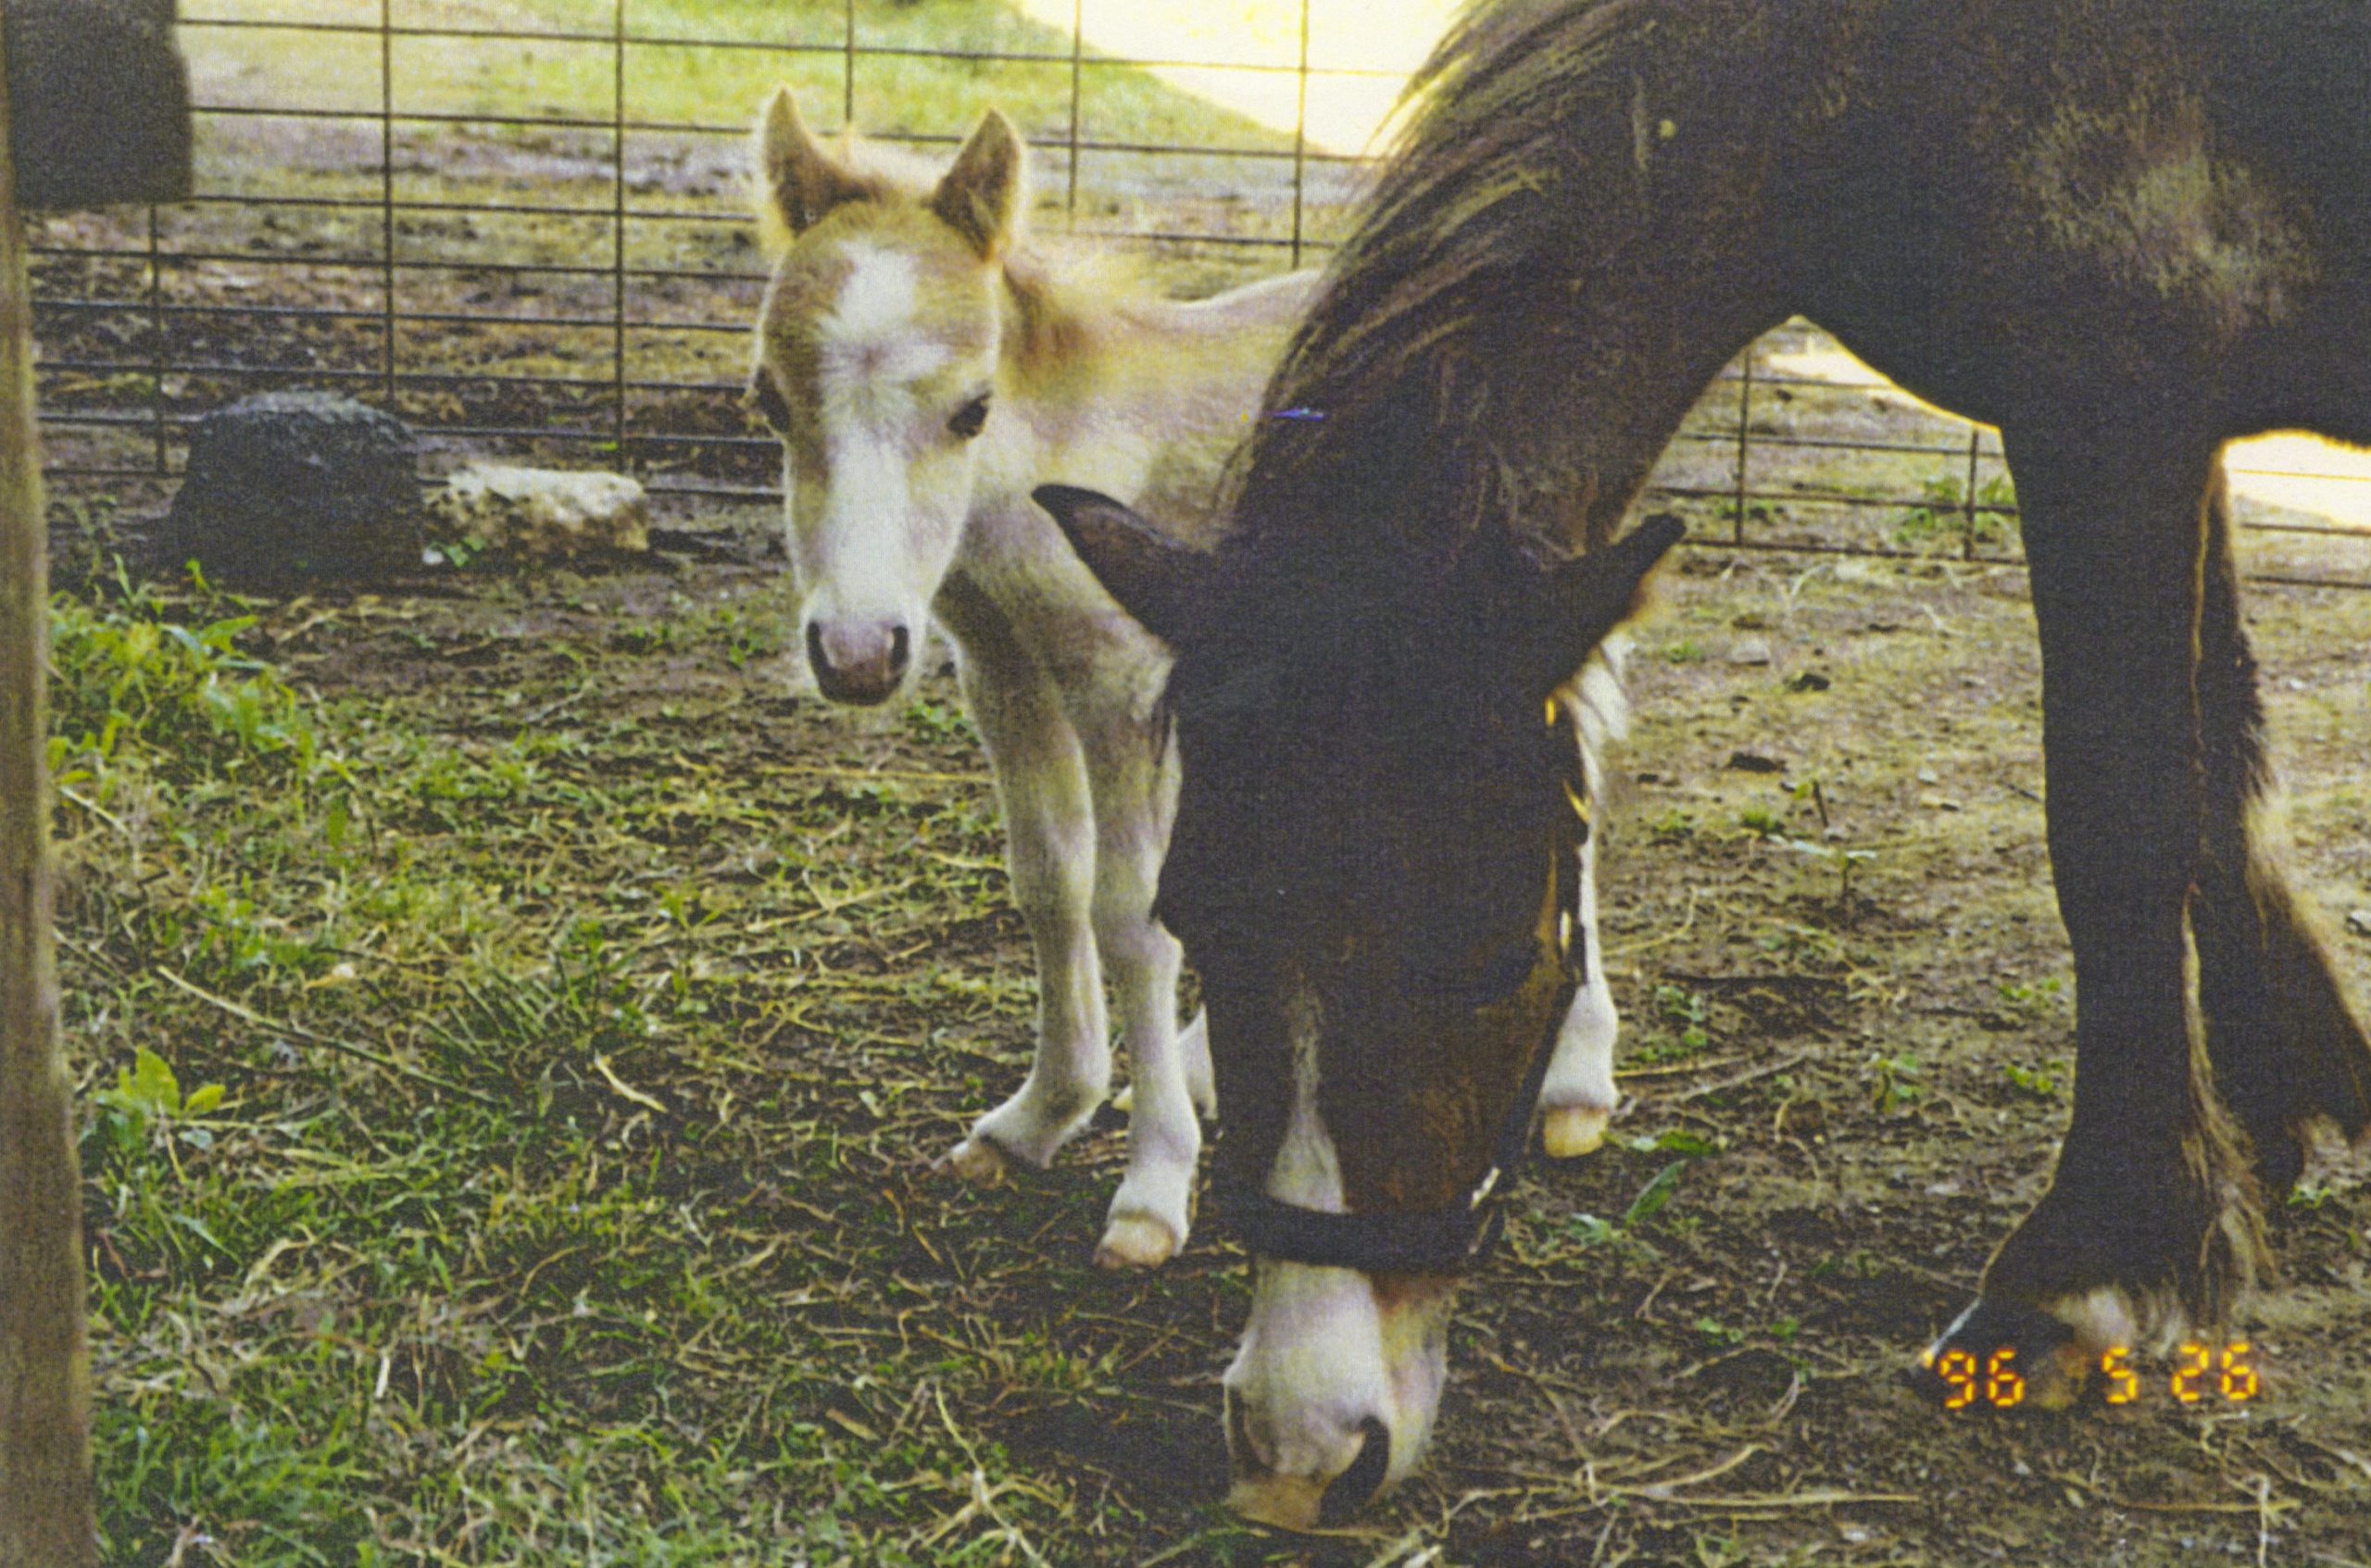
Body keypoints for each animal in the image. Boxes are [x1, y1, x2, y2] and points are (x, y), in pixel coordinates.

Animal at [743, 92, 1328, 1268]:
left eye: (972, 408)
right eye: (770, 402)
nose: (858, 653)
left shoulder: (1122, 683)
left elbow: (1132, 915)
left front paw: (1152, 1189)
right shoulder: (1002, 671)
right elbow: (1049, 884)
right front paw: (1037, 1119)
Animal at [1037, 0, 2371, 1528]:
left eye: (1497, 960)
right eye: (1197, 923)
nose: (1300, 1451)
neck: (1874, 64)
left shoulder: (2112, 412)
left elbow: (2121, 817)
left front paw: (2094, 1265)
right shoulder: (2164, 423)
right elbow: (2220, 764)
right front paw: (2284, 1113)